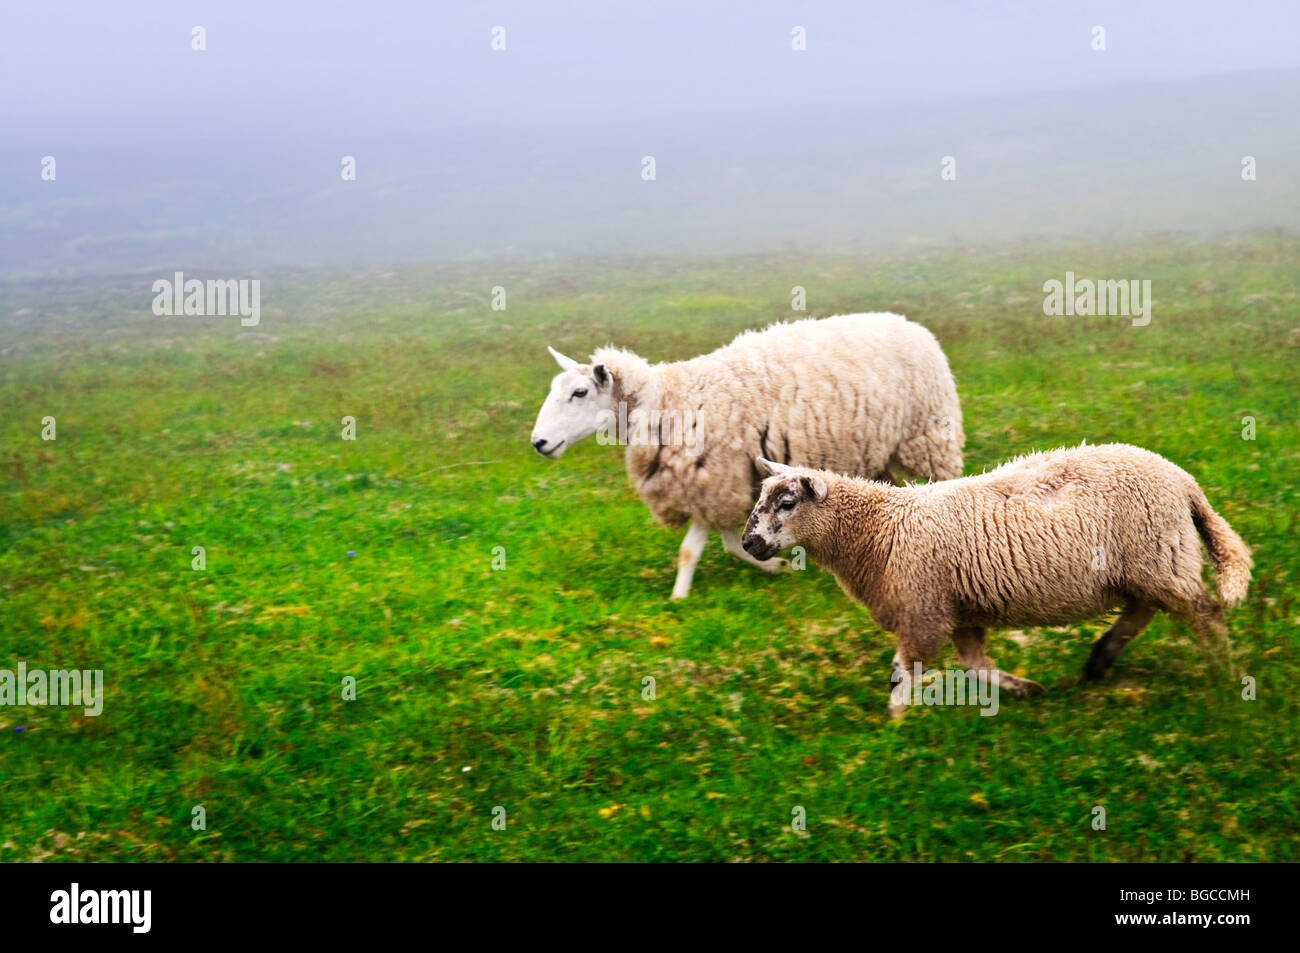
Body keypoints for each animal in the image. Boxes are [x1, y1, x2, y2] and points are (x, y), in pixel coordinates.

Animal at [529, 313, 965, 599]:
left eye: (580, 393)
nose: (539, 443)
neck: (670, 401)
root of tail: (914, 327)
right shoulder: (716, 484)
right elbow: (726, 543)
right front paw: (774, 567)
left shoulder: (714, 476)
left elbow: (692, 550)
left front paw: (678, 599)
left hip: (927, 440)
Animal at [741, 444, 1252, 716]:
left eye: (787, 503)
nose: (749, 543)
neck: (881, 529)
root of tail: (1183, 480)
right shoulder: (958, 612)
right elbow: (975, 666)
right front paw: (1025, 690)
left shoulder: (924, 612)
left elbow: (903, 670)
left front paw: (895, 722)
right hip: (1145, 568)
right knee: (1144, 611)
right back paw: (1097, 664)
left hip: (1159, 559)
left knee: (1205, 614)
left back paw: (1225, 678)